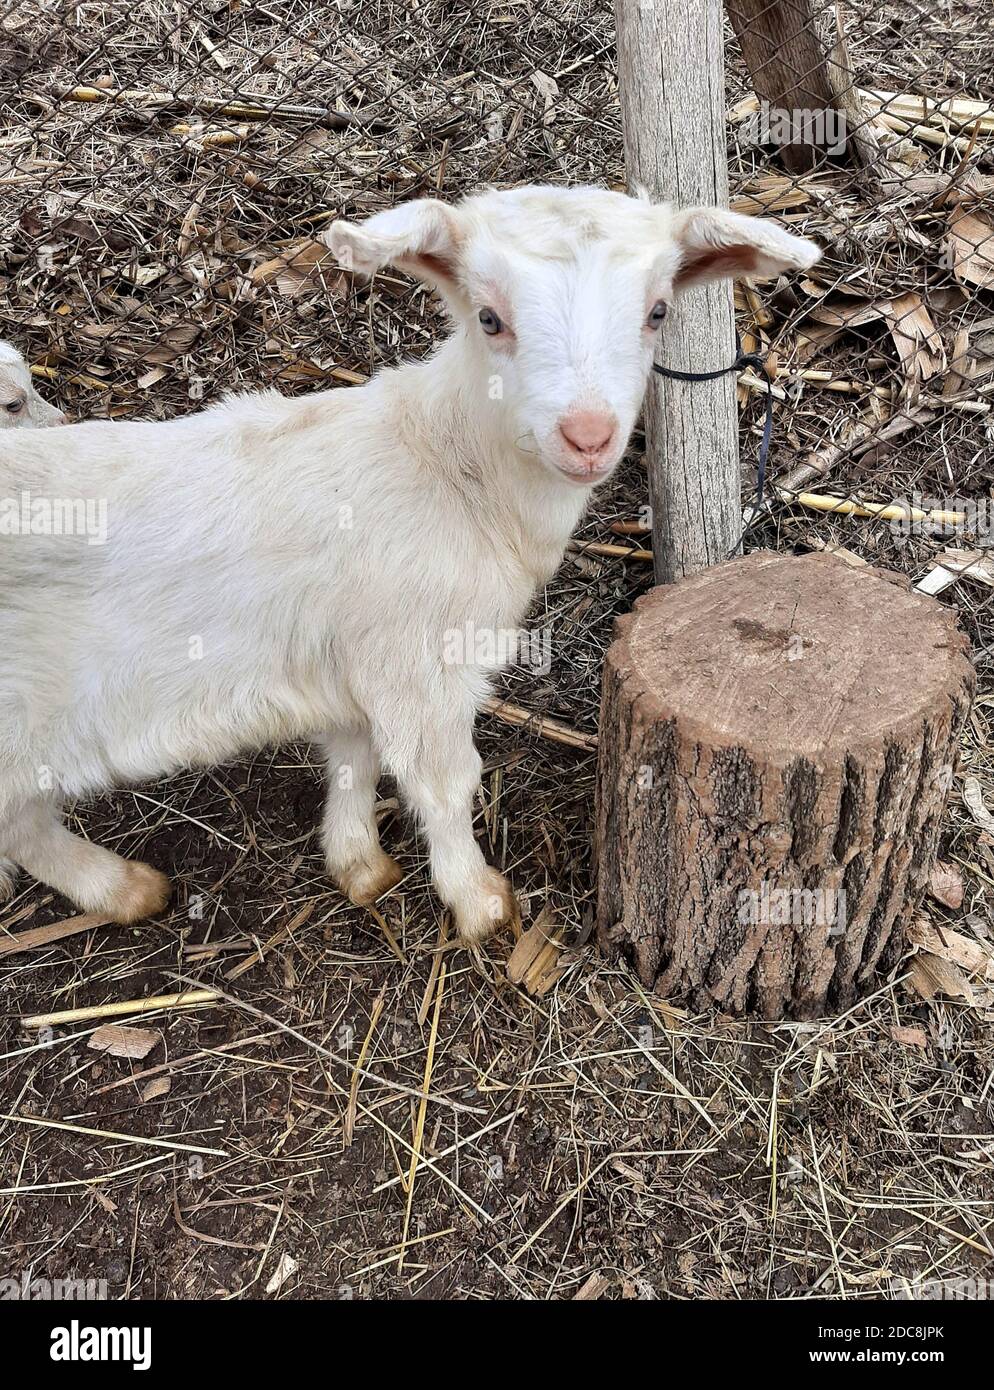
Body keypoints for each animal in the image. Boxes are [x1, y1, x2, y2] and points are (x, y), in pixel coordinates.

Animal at [0, 186, 819, 941]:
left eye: (657, 312)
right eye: (489, 318)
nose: (587, 435)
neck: (448, 465)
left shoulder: (355, 653)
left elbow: (353, 754)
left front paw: (359, 864)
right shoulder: (420, 662)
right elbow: (445, 782)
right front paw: (479, 900)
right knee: (22, 825)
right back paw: (120, 886)